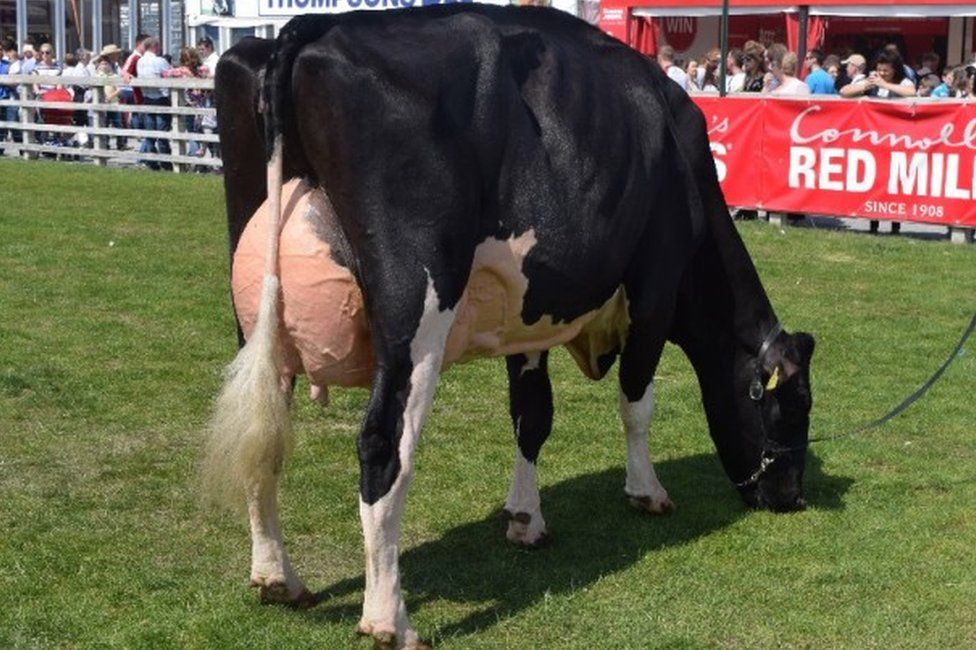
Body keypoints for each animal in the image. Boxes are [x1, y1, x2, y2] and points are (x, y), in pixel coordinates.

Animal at [204, 6, 815, 649]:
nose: (793, 498)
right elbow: (635, 405)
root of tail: (312, 29)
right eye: (796, 404)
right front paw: (646, 492)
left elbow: (532, 415)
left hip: (256, 311)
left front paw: (525, 518)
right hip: (417, 305)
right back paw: (389, 619)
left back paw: (277, 577)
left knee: (263, 432)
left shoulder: (529, 316)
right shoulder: (655, 290)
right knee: (382, 445)